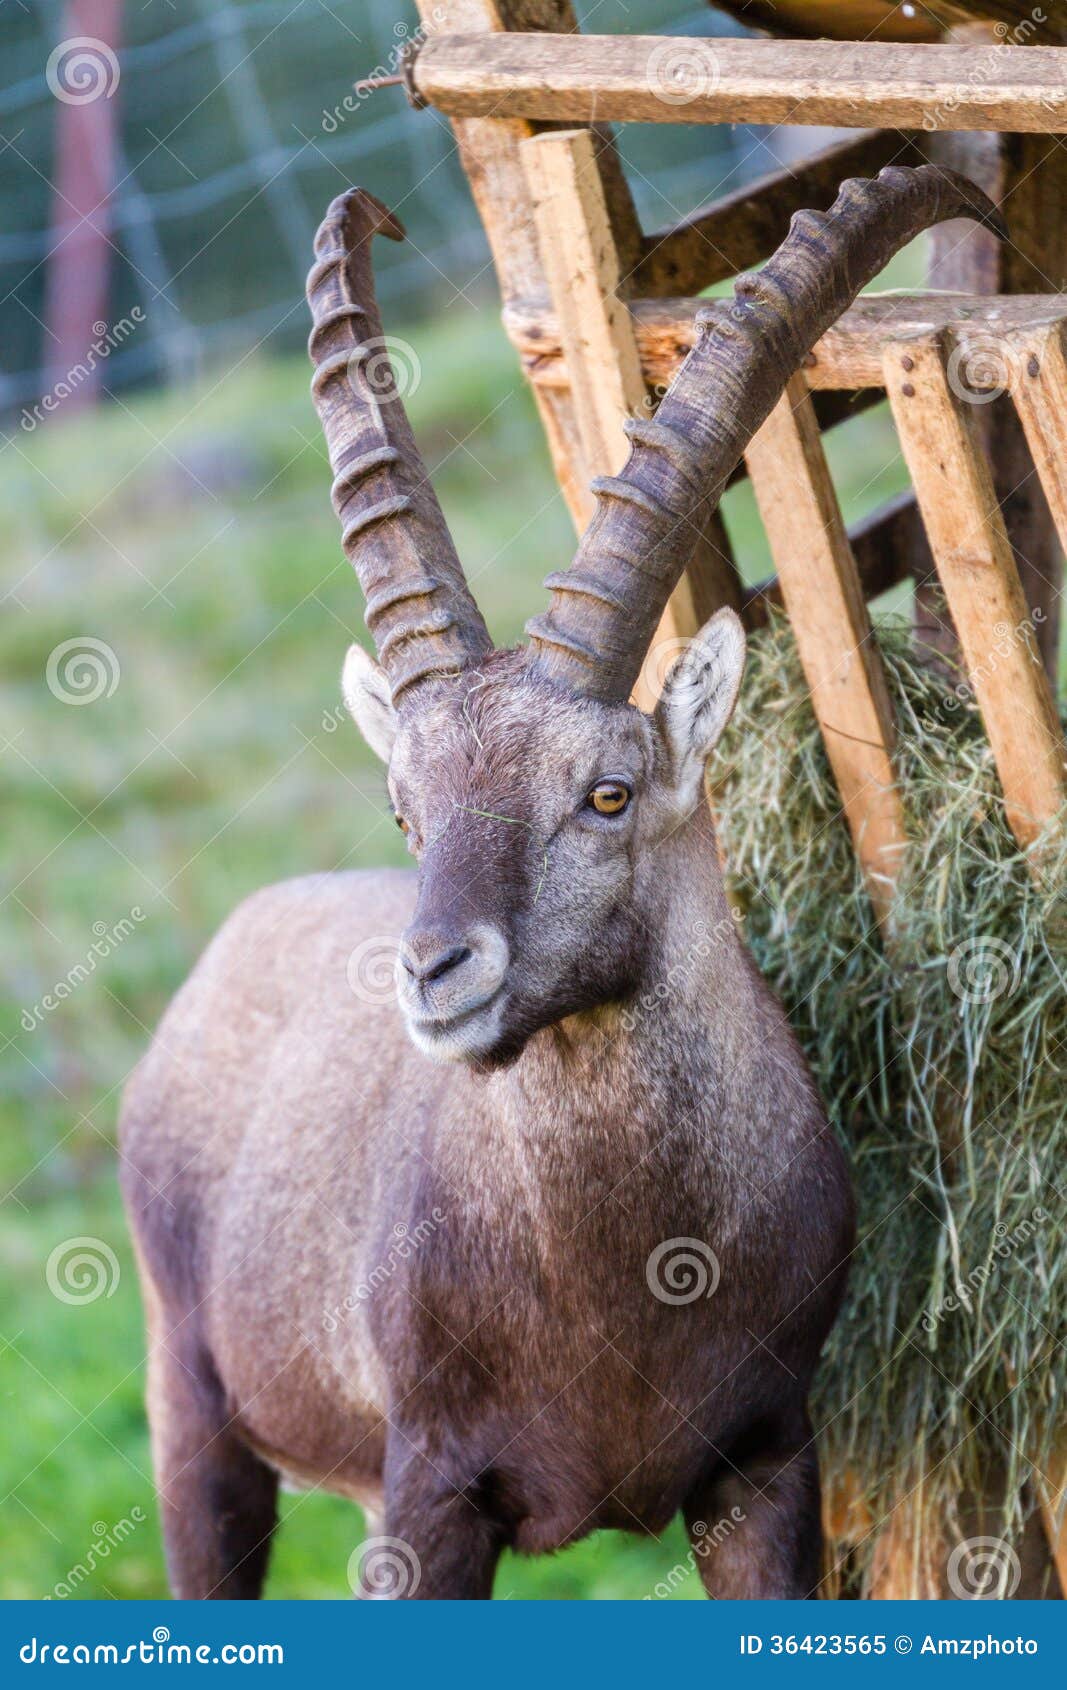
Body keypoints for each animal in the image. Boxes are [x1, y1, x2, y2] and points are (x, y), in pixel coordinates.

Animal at [120, 166, 1001, 1599]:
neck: (618, 1283)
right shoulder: (427, 1499)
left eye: (605, 793)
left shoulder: (765, 1462)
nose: (436, 973)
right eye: (407, 808)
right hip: (193, 1416)